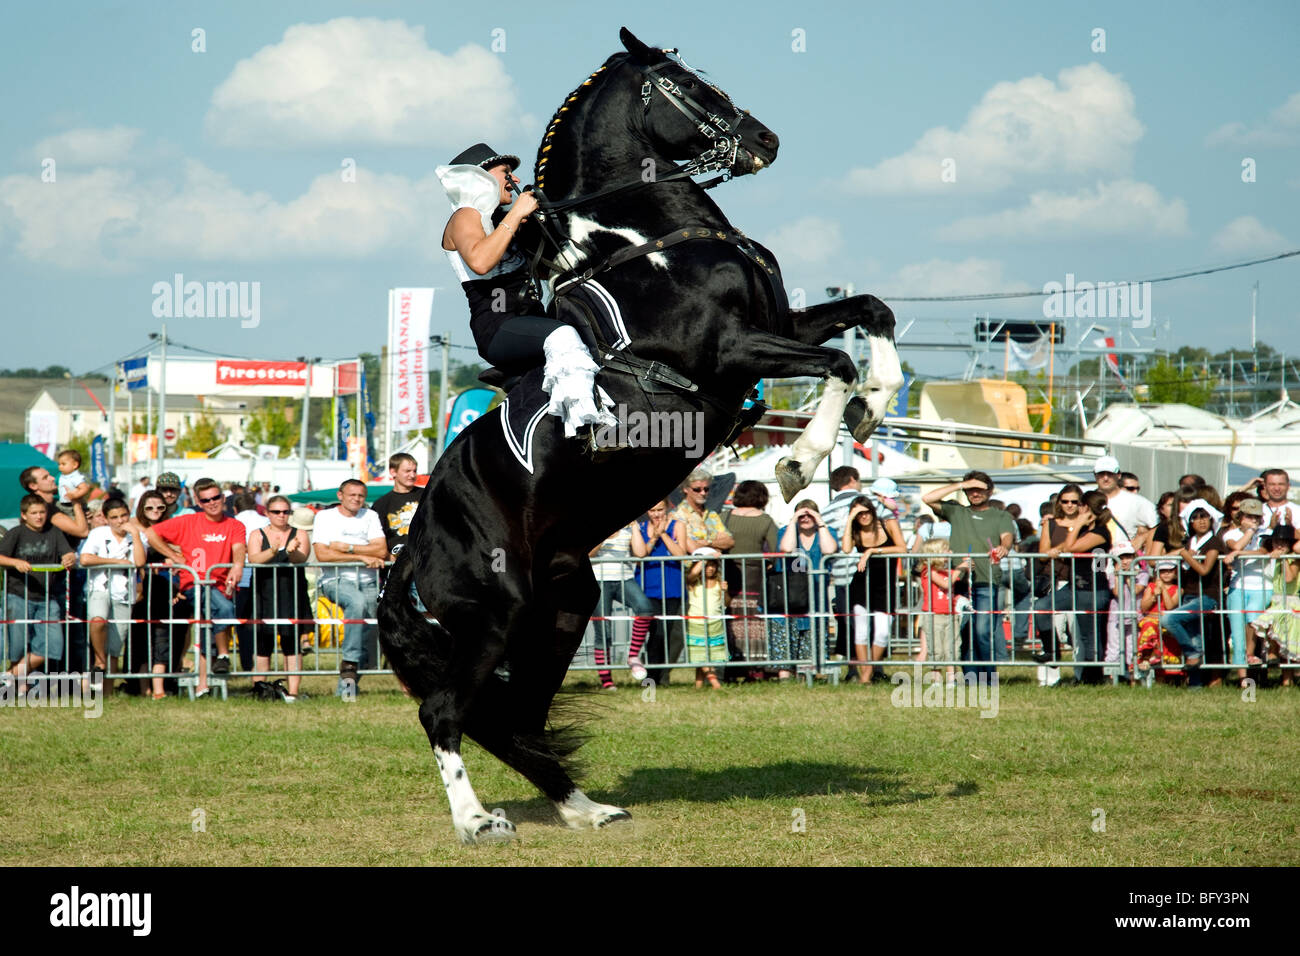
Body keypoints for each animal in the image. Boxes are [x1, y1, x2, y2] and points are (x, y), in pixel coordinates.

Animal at [378, 27, 903, 844]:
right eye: (685, 83)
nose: (765, 139)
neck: (649, 241)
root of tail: (408, 549)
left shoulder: (780, 326)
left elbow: (871, 312)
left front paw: (876, 403)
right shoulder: (730, 352)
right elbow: (837, 361)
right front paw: (801, 460)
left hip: (564, 605)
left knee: (518, 720)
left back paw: (583, 808)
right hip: (495, 614)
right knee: (445, 710)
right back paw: (476, 821)